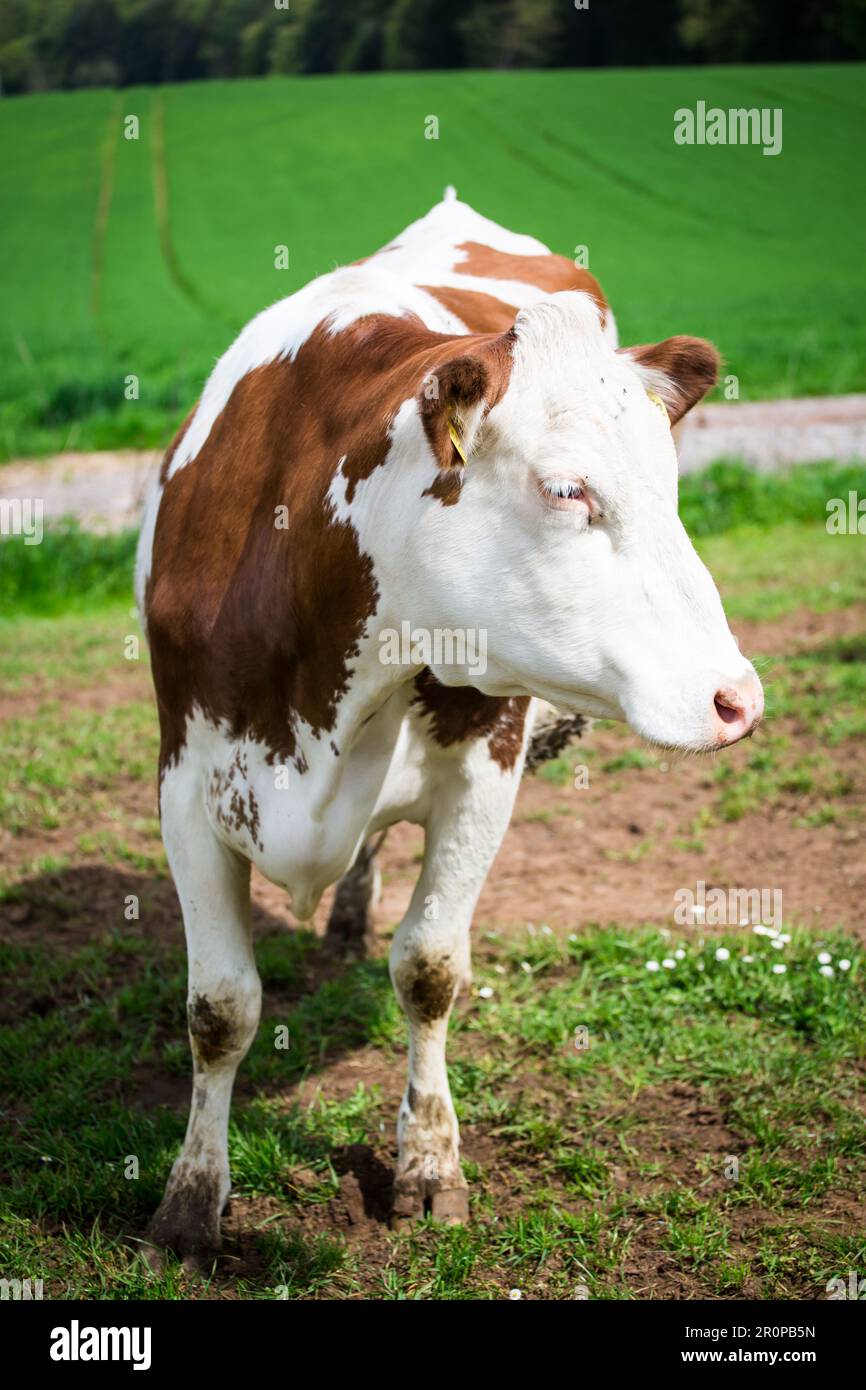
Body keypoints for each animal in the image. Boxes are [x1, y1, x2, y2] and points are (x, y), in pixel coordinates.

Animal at [136, 188, 763, 1267]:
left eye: (672, 488)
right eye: (565, 489)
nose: (737, 697)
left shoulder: (482, 772)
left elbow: (428, 969)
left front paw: (429, 1164)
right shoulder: (186, 787)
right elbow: (219, 1009)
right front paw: (189, 1202)